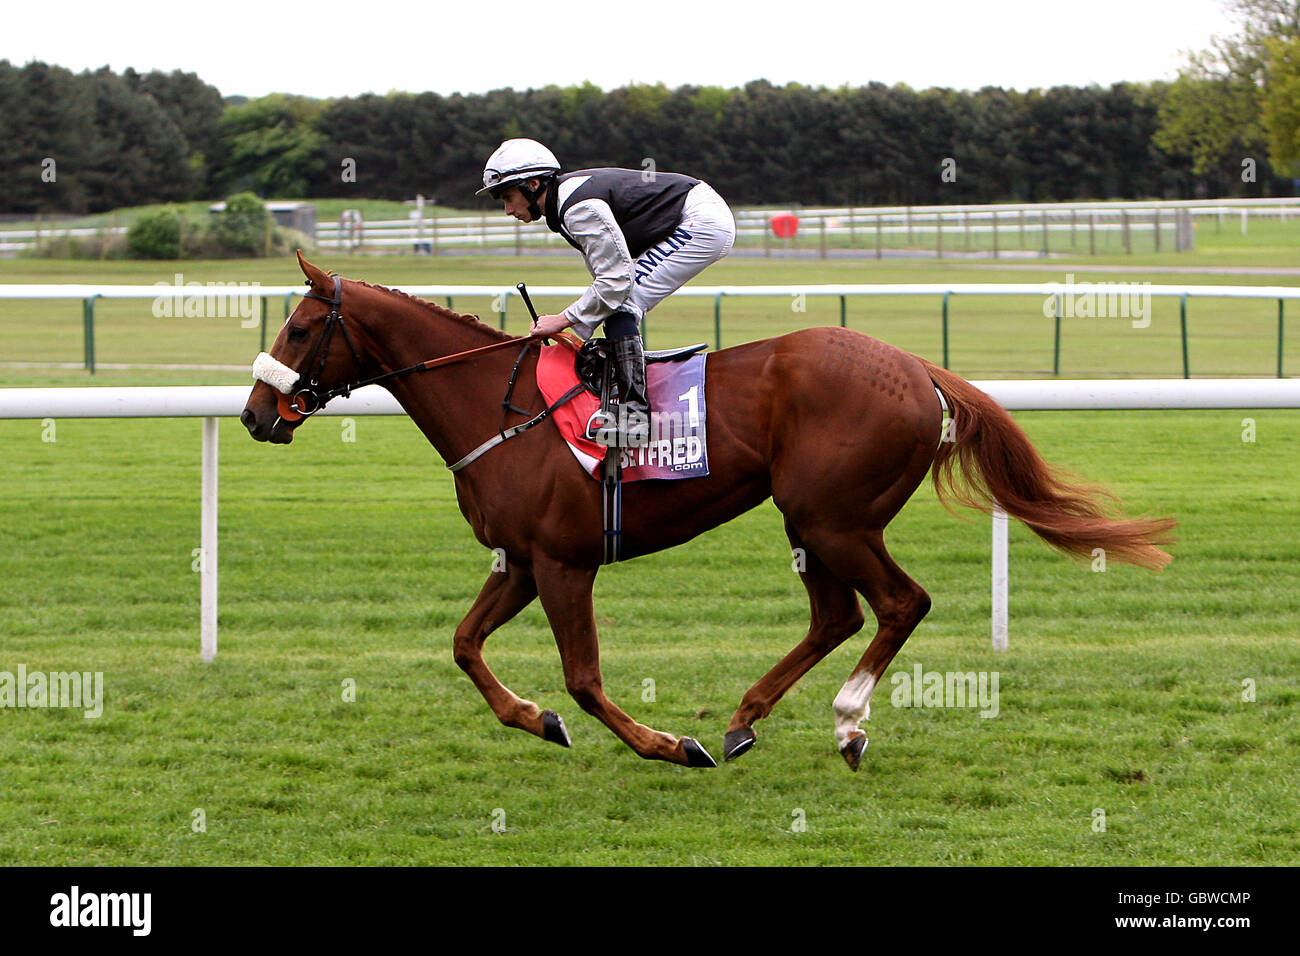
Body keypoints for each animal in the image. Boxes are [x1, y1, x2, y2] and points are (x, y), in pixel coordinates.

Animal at [241, 252, 1176, 770]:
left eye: (298, 330)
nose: (253, 415)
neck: (496, 407)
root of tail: (918, 366)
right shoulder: (521, 561)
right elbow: (466, 647)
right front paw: (535, 720)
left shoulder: (565, 563)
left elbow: (585, 680)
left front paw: (665, 745)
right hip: (811, 521)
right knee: (838, 615)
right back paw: (743, 720)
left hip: (834, 517)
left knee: (899, 603)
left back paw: (844, 724)